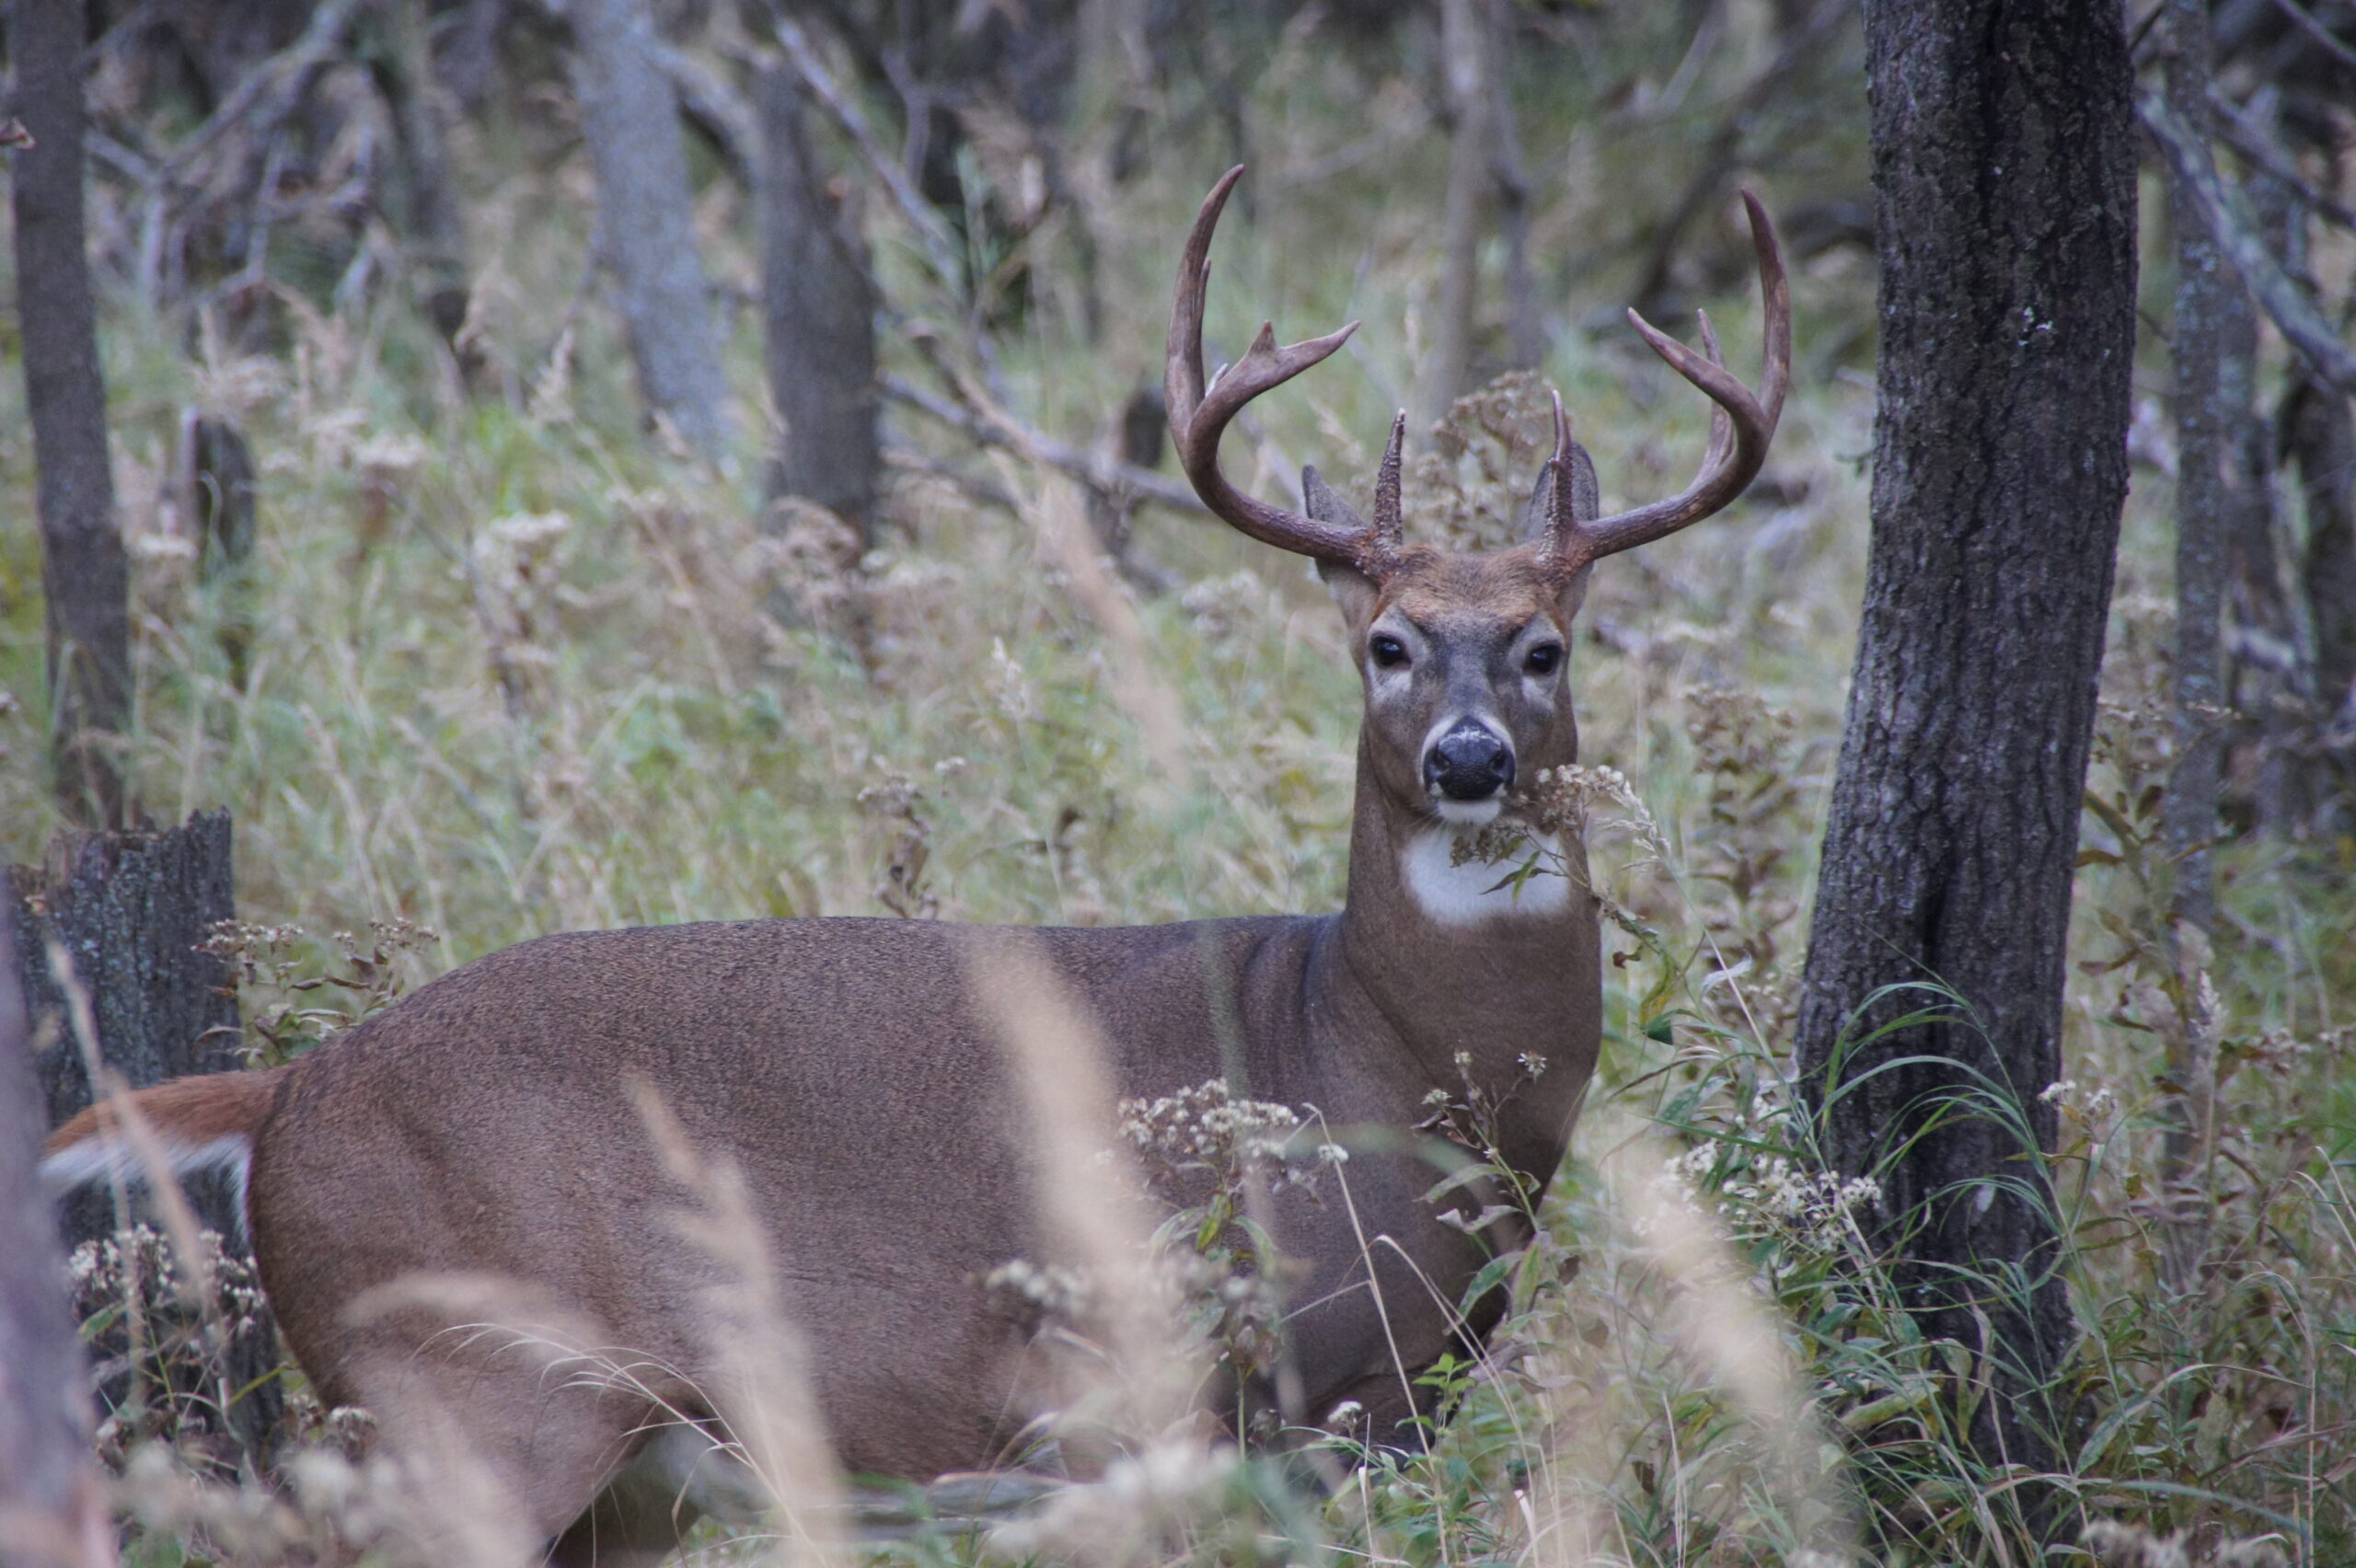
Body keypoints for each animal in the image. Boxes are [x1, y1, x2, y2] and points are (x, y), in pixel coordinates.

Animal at [43, 168, 1787, 1565]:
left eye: (1550, 645)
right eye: (1388, 643)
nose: (1471, 758)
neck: (1356, 1043)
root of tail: (282, 1094)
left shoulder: (1384, 1402)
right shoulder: (1162, 1392)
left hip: (619, 1477)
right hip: (466, 1394)